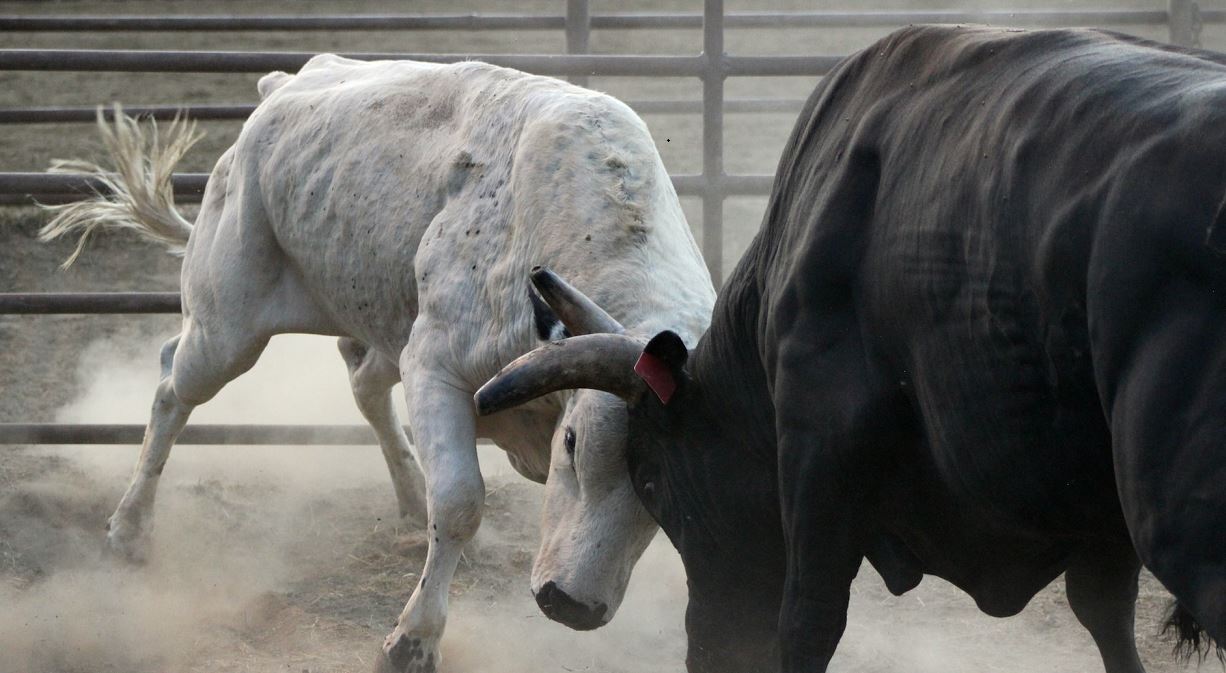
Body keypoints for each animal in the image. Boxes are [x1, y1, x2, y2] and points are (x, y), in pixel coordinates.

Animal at [39, 54, 715, 672]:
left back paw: (411, 496)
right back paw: (130, 529)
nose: (568, 605)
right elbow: (461, 503)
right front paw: (412, 641)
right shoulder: (436, 368)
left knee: (363, 386)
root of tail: (282, 86)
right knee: (170, 388)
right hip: (224, 329)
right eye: (572, 443)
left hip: (382, 327)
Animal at [475, 25, 1226, 673]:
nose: (712, 653)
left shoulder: (820, 451)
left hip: (1180, 521)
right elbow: (1105, 614)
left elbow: (810, 619)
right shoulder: (1099, 517)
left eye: (652, 482)